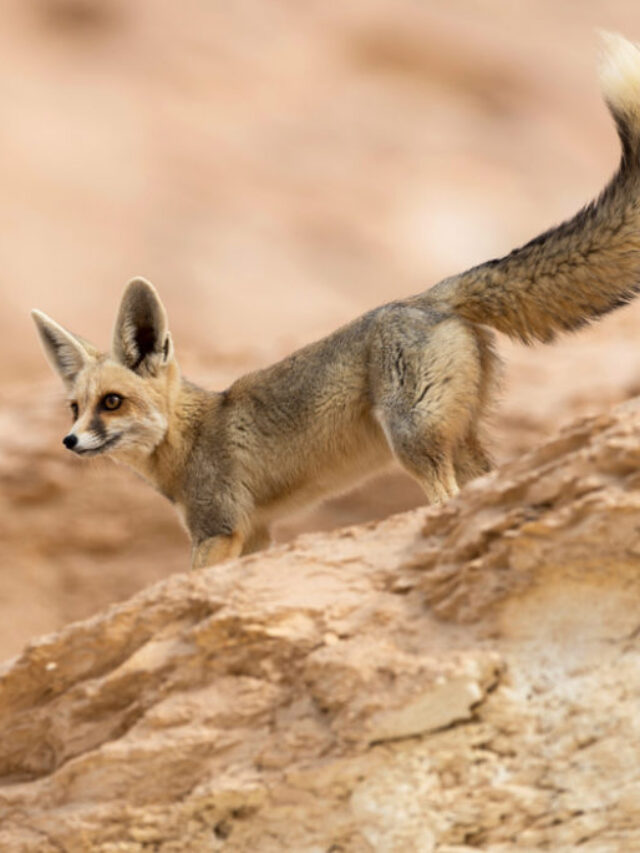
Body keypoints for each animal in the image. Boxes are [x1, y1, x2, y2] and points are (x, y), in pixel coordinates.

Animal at [32, 33, 640, 569]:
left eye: (112, 402)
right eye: (74, 407)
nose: (69, 440)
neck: (187, 438)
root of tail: (429, 295)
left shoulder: (219, 530)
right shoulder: (256, 533)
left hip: (413, 439)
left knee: (445, 502)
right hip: (461, 443)